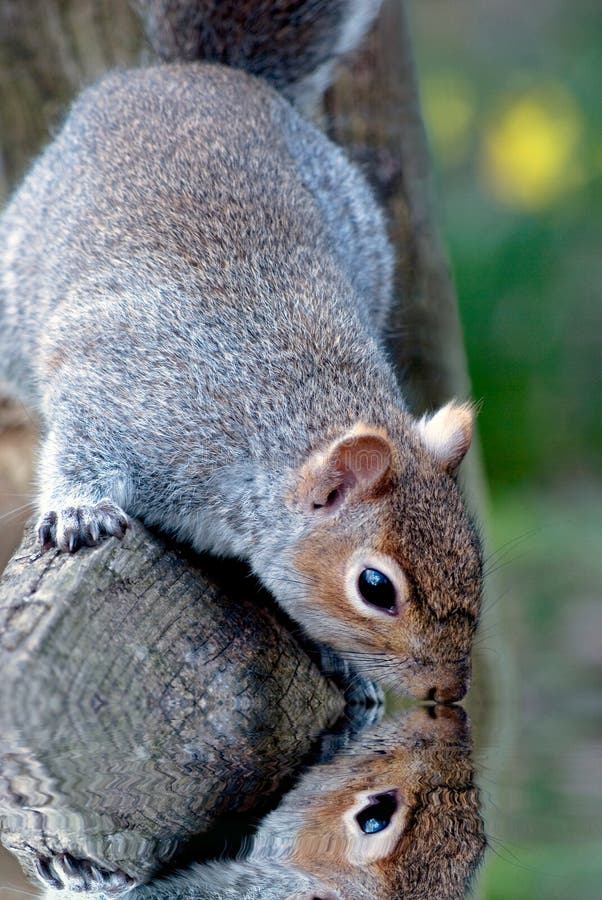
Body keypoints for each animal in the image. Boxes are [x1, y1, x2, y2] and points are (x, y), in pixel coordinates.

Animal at [0, 0, 482, 701]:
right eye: (375, 587)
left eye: (476, 555)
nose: (449, 689)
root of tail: (201, 74)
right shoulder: (133, 395)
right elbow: (79, 442)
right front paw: (79, 512)